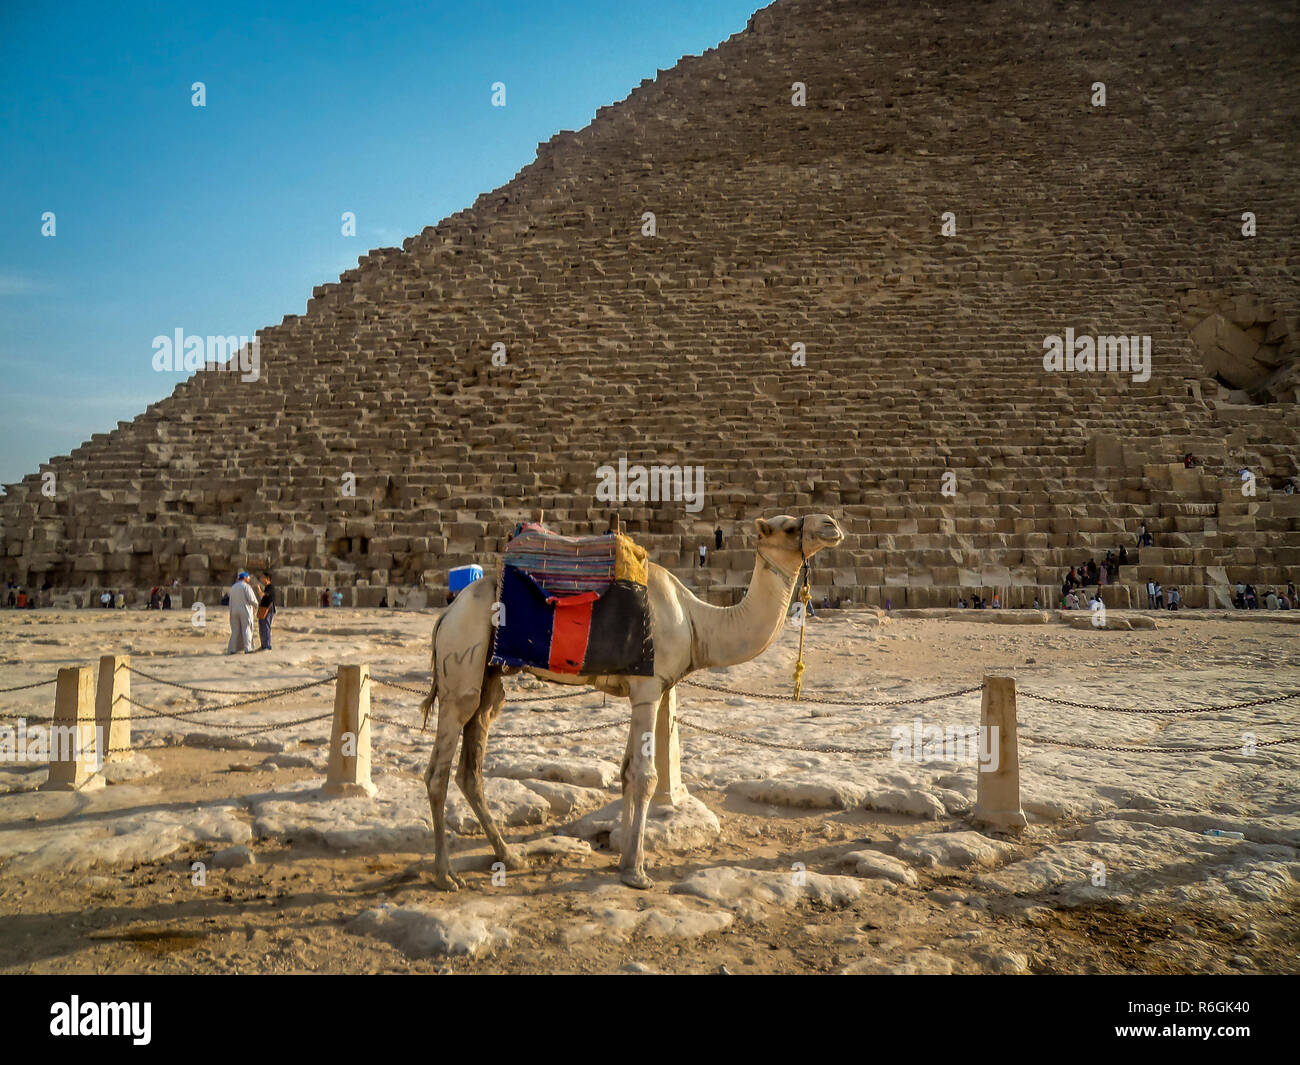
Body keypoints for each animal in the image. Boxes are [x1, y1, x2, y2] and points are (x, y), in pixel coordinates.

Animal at [418, 512, 845, 891]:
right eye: (788, 527)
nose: (832, 524)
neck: (698, 624)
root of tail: (445, 615)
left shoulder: (653, 689)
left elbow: (625, 773)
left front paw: (623, 858)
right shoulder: (647, 690)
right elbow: (644, 776)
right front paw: (637, 872)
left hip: (488, 678)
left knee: (472, 766)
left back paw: (509, 856)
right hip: (462, 660)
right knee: (438, 770)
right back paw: (445, 875)